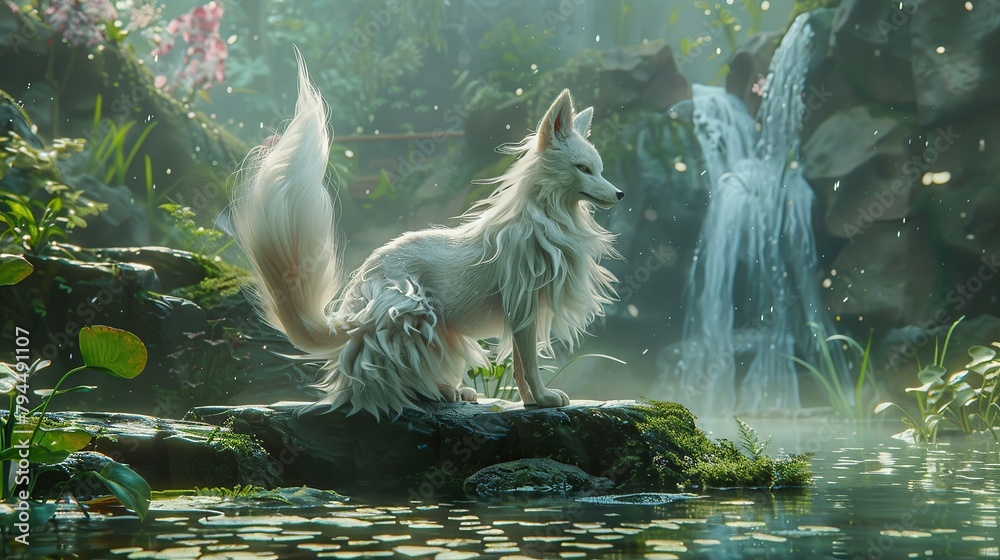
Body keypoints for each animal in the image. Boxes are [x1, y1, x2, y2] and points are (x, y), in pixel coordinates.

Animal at [229, 53, 623, 418]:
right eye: (583, 169)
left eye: (600, 170)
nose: (619, 194)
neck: (549, 217)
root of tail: (354, 305)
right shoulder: (521, 305)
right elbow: (527, 363)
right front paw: (542, 399)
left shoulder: (522, 309)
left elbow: (520, 367)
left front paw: (530, 401)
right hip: (411, 309)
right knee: (376, 382)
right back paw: (435, 393)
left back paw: (452, 389)